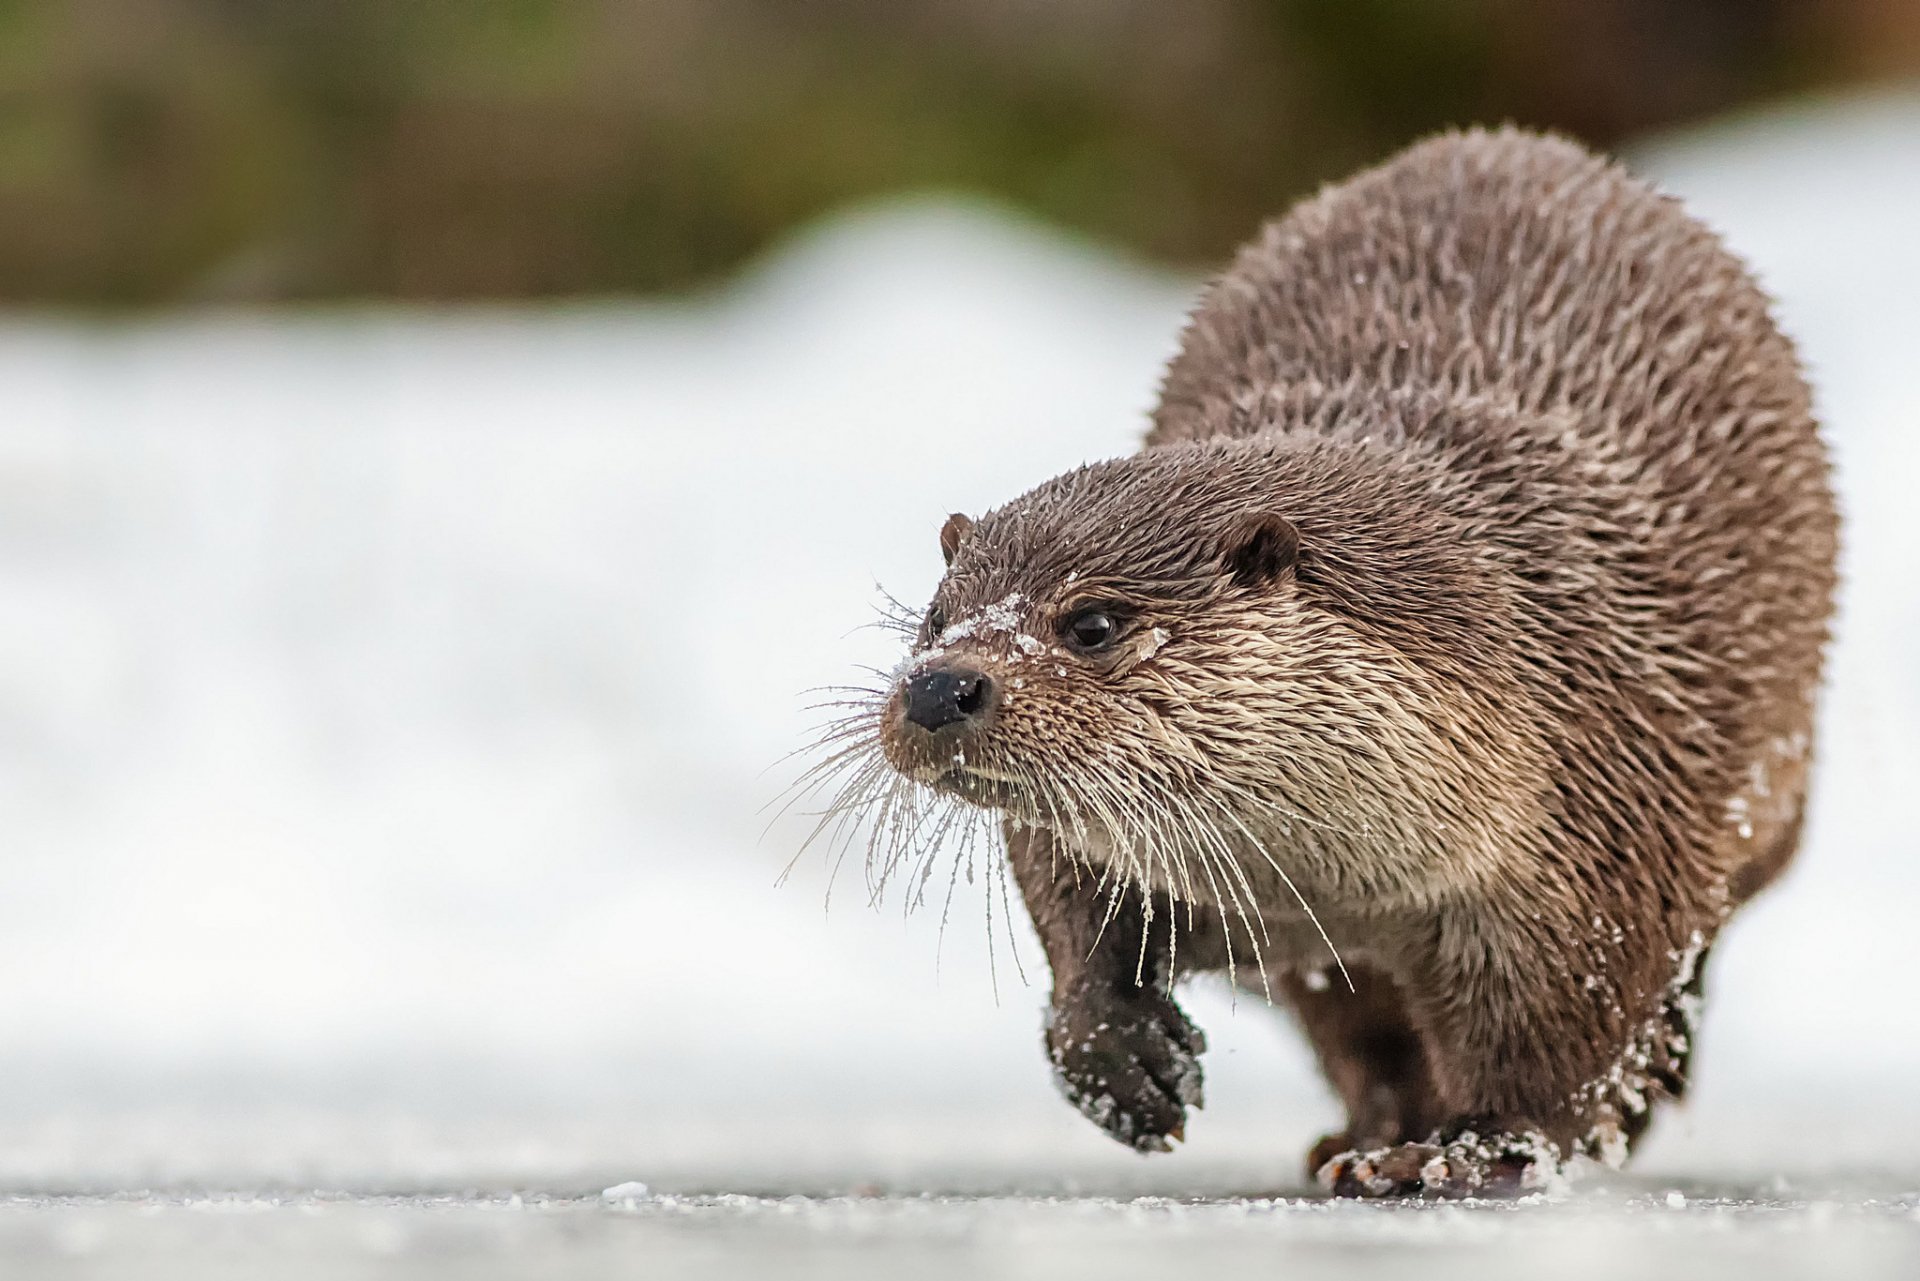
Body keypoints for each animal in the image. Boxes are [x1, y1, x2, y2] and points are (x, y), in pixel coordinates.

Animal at [833, 128, 1837, 1196]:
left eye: (1093, 624)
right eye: (934, 618)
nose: (938, 687)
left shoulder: (1601, 821)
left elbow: (1559, 1036)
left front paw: (1475, 1150)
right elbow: (1070, 900)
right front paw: (1117, 1054)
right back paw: (1355, 1135)